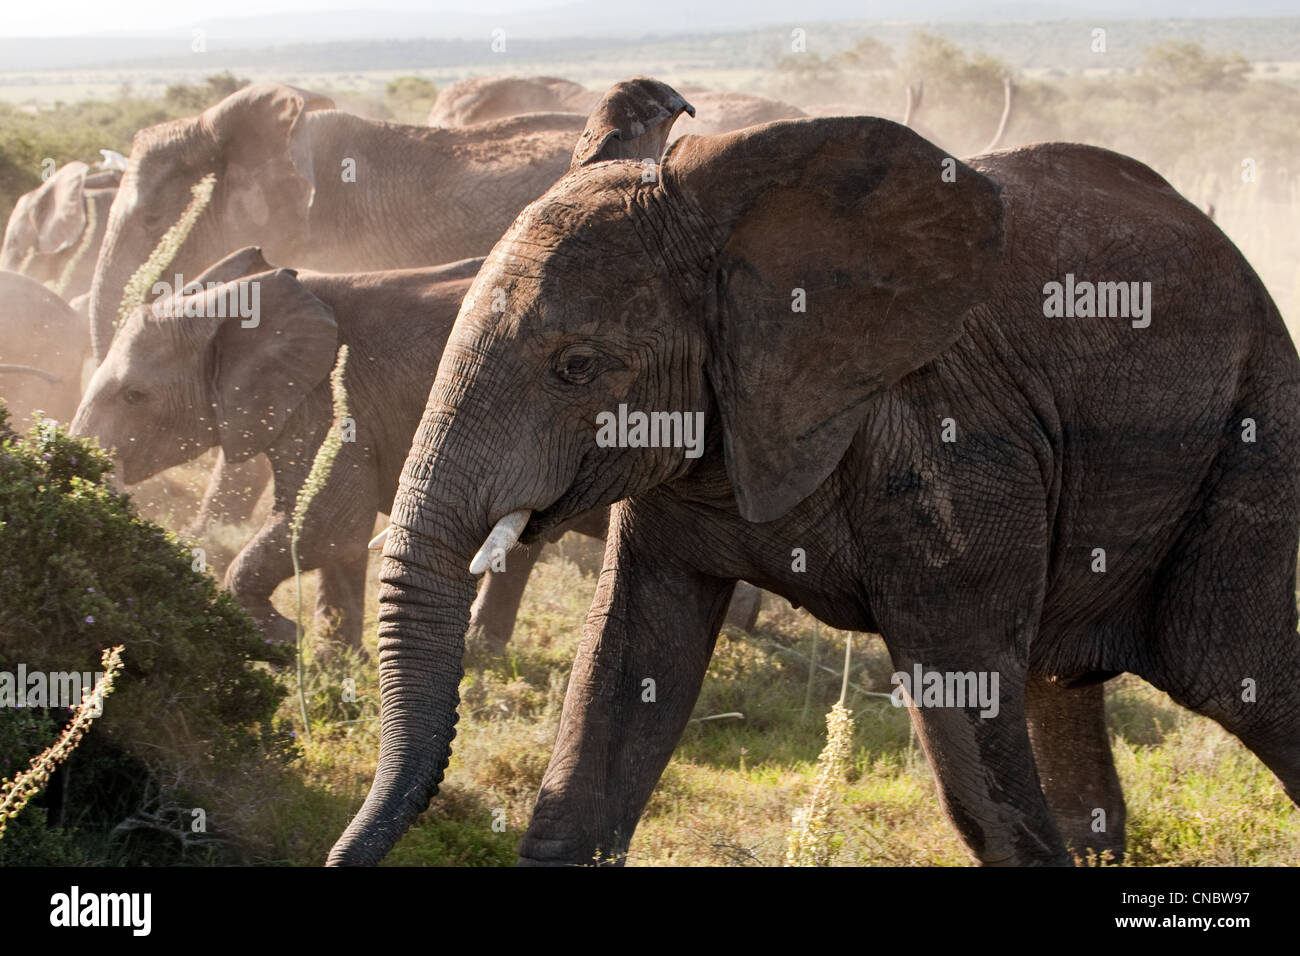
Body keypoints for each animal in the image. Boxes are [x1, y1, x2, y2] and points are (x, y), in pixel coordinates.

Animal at [70, 246, 762, 653]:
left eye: (134, 396)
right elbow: (336, 536)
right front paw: (336, 655)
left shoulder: (330, 401)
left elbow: (325, 520)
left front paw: (283, 645)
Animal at [328, 77, 1300, 867]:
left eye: (577, 366)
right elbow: (618, 685)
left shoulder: (958, 449)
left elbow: (979, 774)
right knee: (1063, 696)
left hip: (1250, 436)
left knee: (1235, 674)